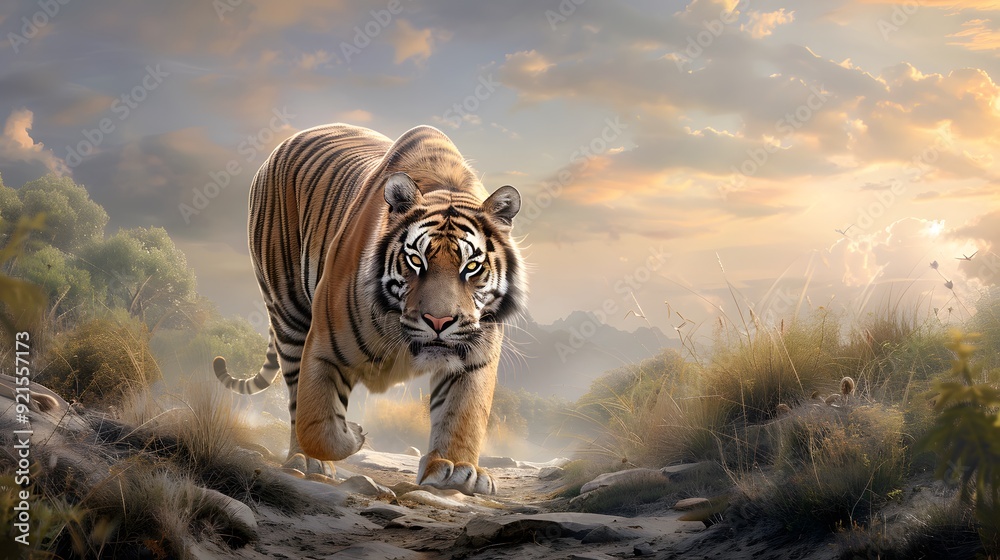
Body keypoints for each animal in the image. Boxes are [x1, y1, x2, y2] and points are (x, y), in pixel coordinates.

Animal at [212, 123, 526, 495]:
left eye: (472, 266)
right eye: (416, 260)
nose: (439, 321)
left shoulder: (475, 357)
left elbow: (463, 413)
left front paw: (456, 470)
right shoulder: (322, 346)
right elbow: (316, 419)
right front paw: (351, 437)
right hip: (288, 313)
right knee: (294, 394)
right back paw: (304, 459)